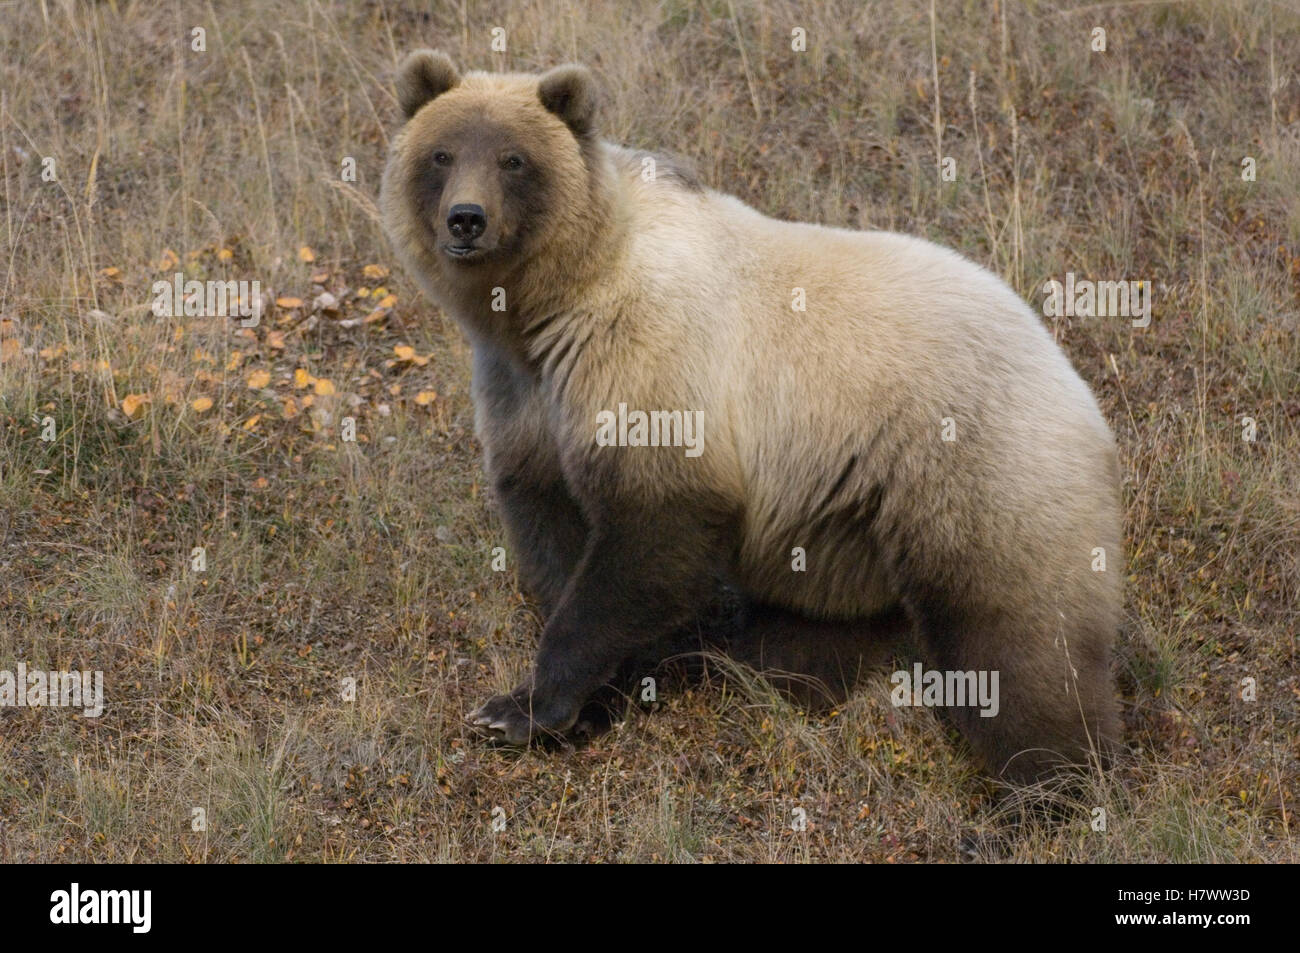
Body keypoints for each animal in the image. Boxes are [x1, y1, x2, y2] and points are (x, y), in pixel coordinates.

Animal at [379, 50, 1124, 785]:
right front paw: (582, 706)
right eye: (442, 154)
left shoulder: (652, 363)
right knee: (818, 624)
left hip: (975, 465)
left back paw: (1045, 779)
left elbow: (651, 532)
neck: (553, 304)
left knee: (1013, 634)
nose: (466, 219)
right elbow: (550, 523)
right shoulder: (525, 392)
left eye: (513, 159)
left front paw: (518, 709)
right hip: (843, 519)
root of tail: (1072, 378)